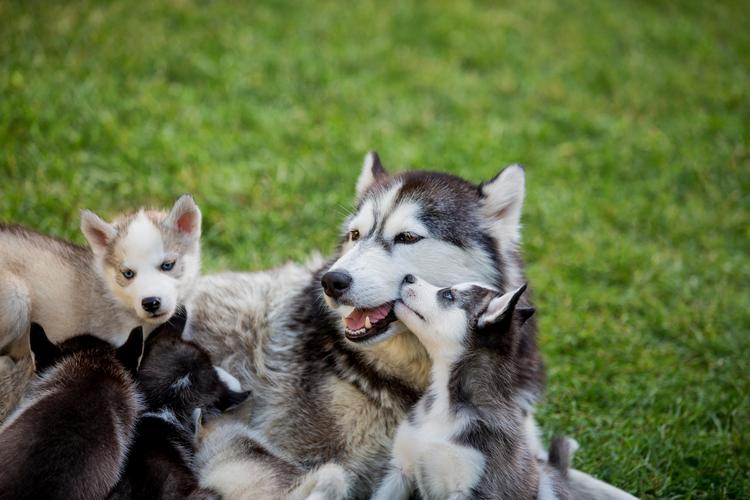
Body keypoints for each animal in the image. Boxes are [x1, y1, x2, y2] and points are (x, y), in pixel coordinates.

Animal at [374, 276, 572, 499]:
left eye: (448, 295)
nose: (408, 277)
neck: (444, 403)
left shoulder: (474, 488)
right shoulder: (400, 468)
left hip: (545, 484)